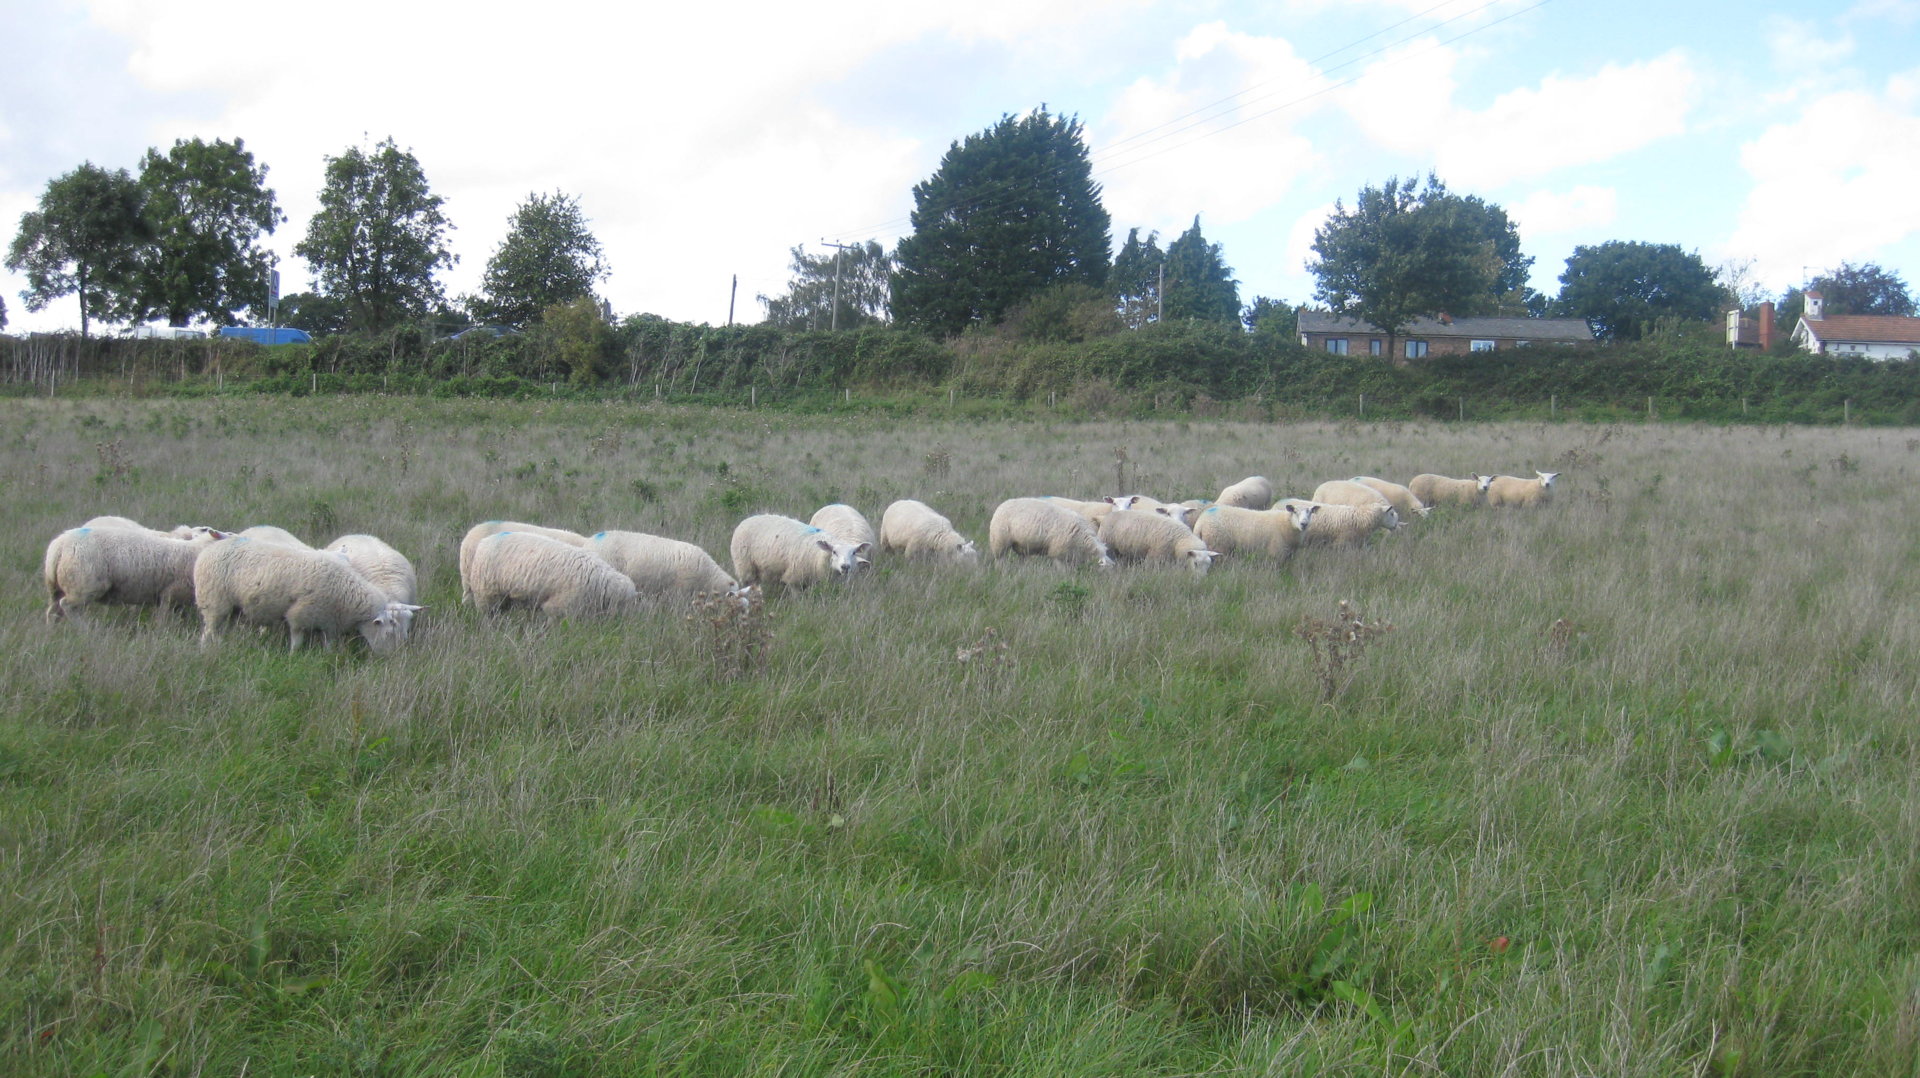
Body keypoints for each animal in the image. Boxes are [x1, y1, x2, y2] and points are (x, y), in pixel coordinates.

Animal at [44, 525, 227, 624]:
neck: (194, 550)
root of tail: (59, 546)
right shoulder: (168, 594)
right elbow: (162, 619)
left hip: (56, 587)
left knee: (52, 610)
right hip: (84, 585)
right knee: (67, 606)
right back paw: (84, 629)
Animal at [194, 536, 420, 652]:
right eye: (389, 633)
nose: (392, 658)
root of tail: (209, 549)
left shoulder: (330, 621)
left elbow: (329, 644)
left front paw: (329, 656)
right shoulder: (300, 615)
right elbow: (297, 639)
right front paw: (293, 656)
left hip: (233, 609)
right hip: (214, 602)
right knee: (208, 632)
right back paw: (206, 651)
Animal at [730, 514, 871, 590]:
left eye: (854, 553)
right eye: (834, 552)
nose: (845, 566)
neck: (818, 555)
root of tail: (748, 519)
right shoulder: (795, 578)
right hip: (744, 566)